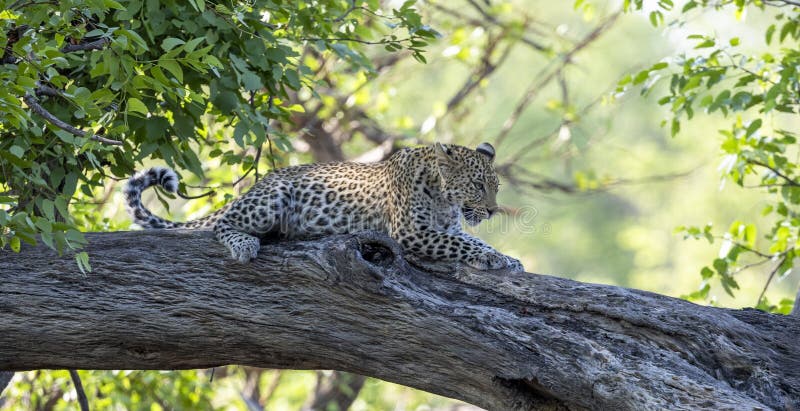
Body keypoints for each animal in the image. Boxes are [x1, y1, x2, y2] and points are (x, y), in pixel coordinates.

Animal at [124, 142, 523, 271]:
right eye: (478, 186)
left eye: (495, 188)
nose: (491, 211)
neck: (443, 197)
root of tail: (254, 187)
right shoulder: (411, 232)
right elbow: (461, 244)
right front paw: (497, 259)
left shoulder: (446, 227)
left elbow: (470, 240)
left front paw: (508, 258)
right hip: (271, 198)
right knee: (223, 226)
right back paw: (245, 244)